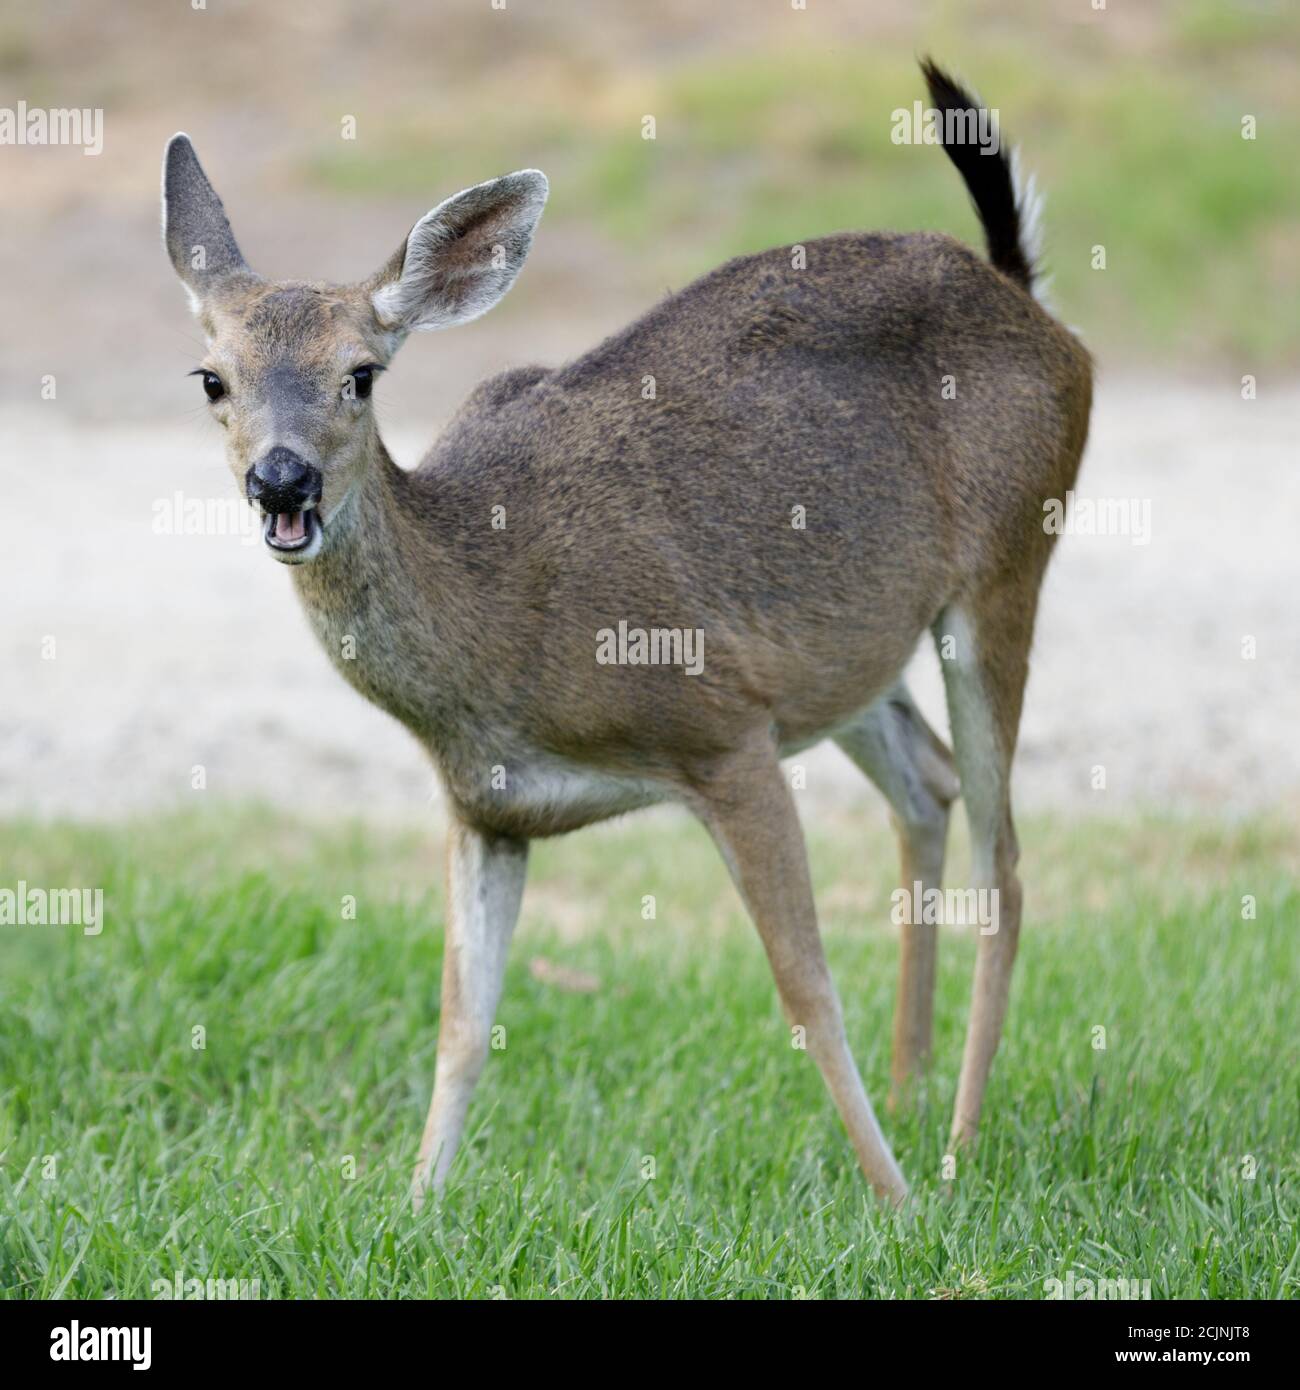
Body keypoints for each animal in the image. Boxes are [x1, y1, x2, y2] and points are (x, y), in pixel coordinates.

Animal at [161, 60, 1091, 1208]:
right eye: (212, 379)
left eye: (362, 375)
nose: (281, 480)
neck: (496, 641)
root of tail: (1032, 301)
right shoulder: (485, 807)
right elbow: (461, 1020)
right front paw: (417, 1202)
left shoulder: (721, 727)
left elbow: (804, 987)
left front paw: (896, 1202)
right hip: (850, 655)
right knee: (928, 784)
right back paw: (913, 1090)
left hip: (1006, 562)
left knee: (1003, 861)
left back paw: (956, 1144)